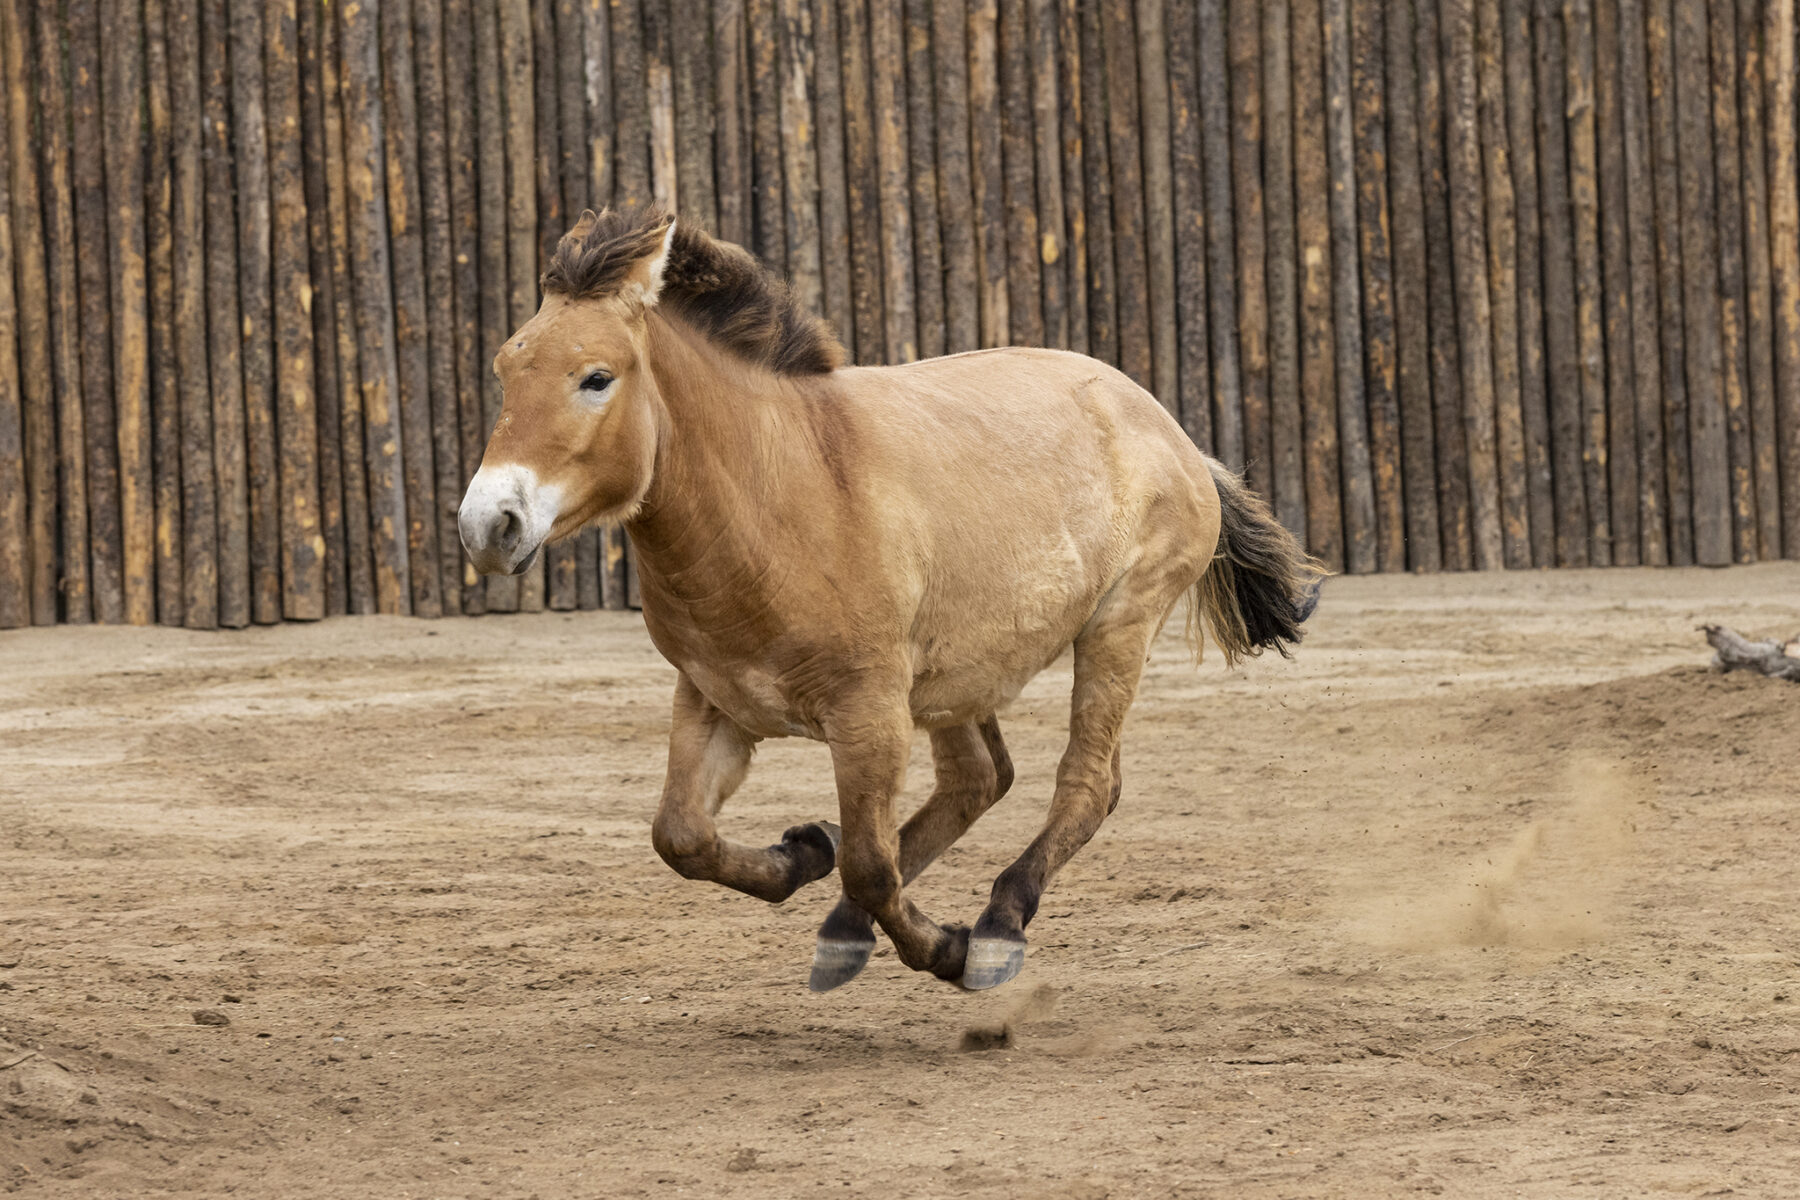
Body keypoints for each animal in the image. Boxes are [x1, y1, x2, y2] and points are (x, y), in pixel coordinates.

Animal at [459, 207, 1324, 992]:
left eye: (596, 378)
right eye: (503, 368)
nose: (487, 524)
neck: (779, 491)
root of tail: (1172, 431)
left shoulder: (869, 713)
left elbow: (872, 864)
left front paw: (946, 949)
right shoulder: (714, 697)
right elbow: (683, 836)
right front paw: (802, 851)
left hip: (1119, 627)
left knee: (1085, 783)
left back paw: (996, 927)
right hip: (958, 676)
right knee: (981, 778)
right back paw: (850, 920)